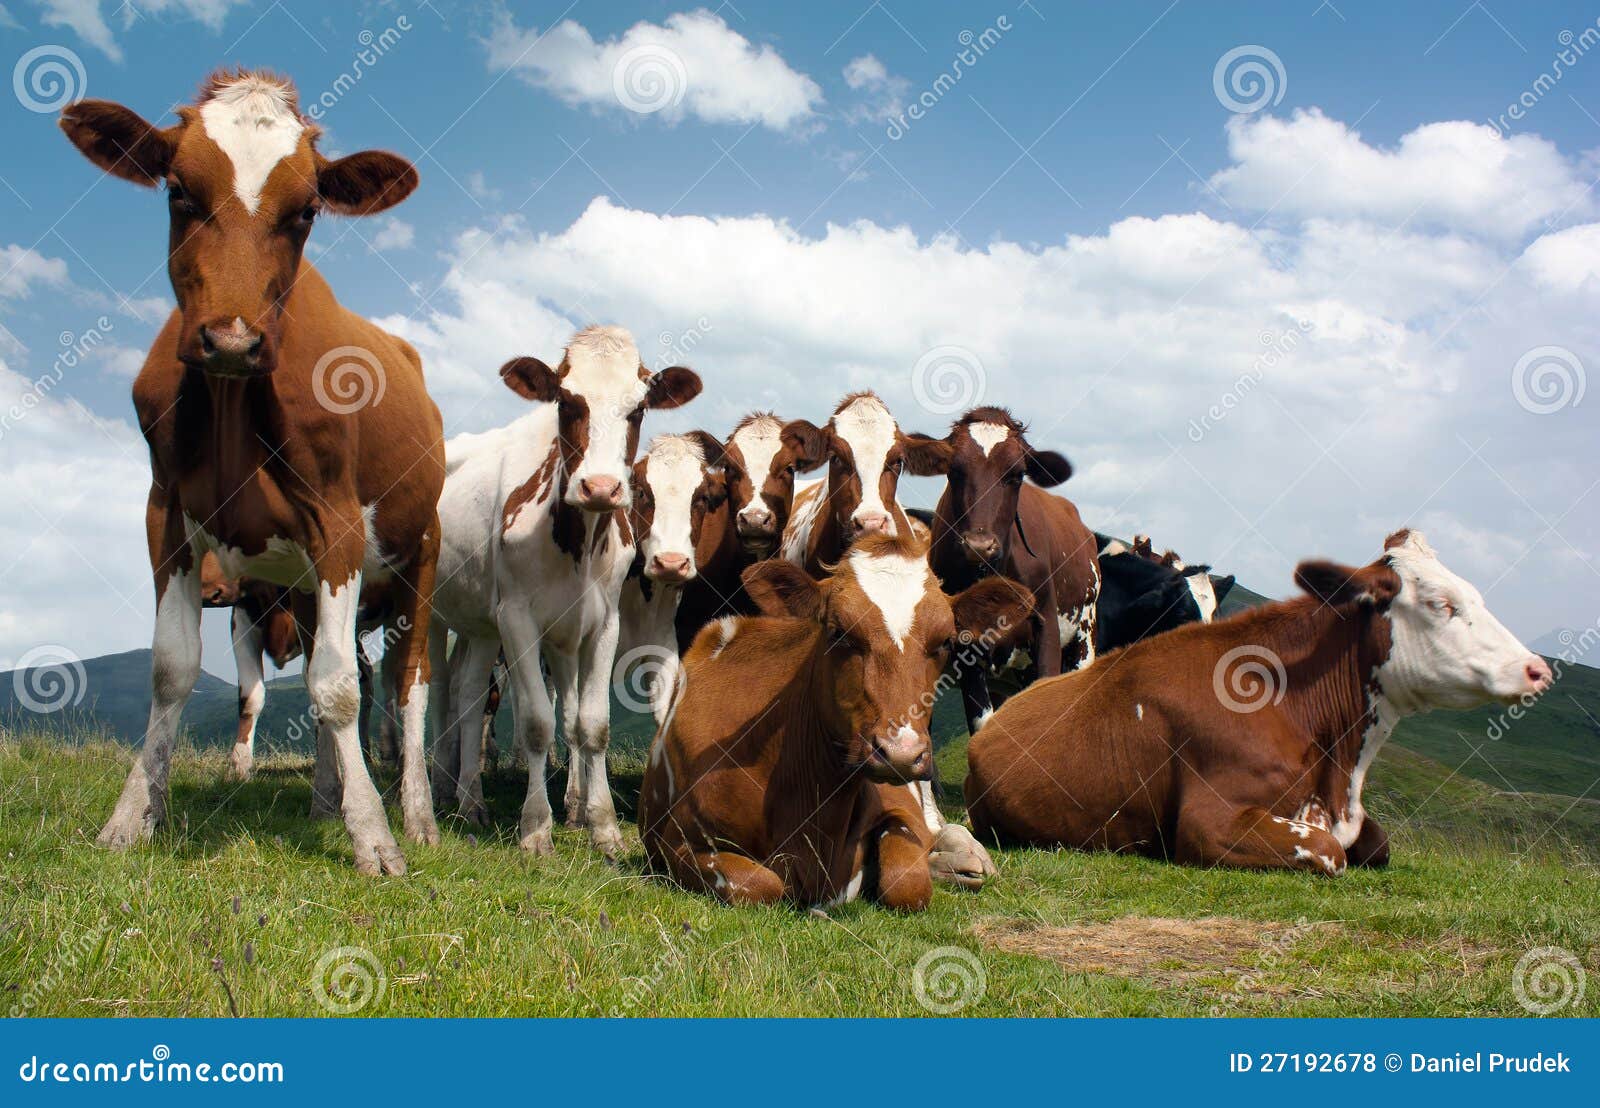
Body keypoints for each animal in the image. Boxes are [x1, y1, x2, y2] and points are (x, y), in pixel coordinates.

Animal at [63, 70, 443, 874]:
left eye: (306, 211)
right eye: (178, 191)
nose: (232, 339)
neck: (235, 398)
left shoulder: (337, 523)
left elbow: (338, 688)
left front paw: (375, 837)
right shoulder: (166, 515)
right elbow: (173, 668)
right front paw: (133, 815)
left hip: (419, 554)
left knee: (407, 681)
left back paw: (418, 812)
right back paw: (327, 797)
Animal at [427, 325, 702, 855]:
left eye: (638, 408)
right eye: (567, 402)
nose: (600, 487)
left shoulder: (600, 624)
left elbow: (591, 724)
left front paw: (603, 826)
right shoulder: (517, 619)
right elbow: (537, 722)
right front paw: (536, 828)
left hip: (483, 626)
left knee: (471, 693)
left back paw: (471, 800)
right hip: (430, 610)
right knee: (437, 693)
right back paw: (441, 787)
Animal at [638, 531, 1033, 908]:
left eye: (946, 642)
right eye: (839, 631)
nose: (901, 753)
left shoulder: (899, 809)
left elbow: (907, 882)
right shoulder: (678, 843)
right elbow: (760, 885)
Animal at [907, 408, 1099, 734]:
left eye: (1017, 474)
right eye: (954, 471)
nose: (979, 545)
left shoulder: (1047, 626)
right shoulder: (967, 643)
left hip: (1084, 633)